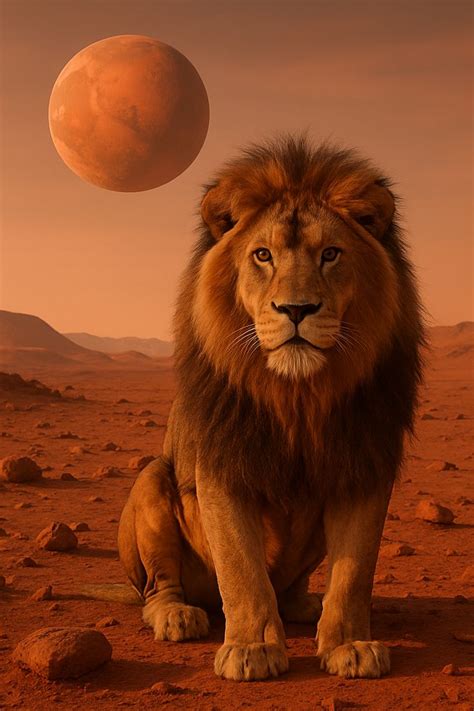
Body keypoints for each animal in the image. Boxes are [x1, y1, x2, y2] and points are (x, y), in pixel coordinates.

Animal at [118, 134, 425, 681]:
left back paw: (304, 605)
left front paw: (350, 644)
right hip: (153, 478)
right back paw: (178, 615)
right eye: (262, 255)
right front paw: (252, 648)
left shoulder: (364, 465)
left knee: (293, 587)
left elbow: (354, 572)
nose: (296, 309)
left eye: (330, 254)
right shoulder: (221, 467)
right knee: (159, 585)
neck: (296, 396)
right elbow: (242, 569)